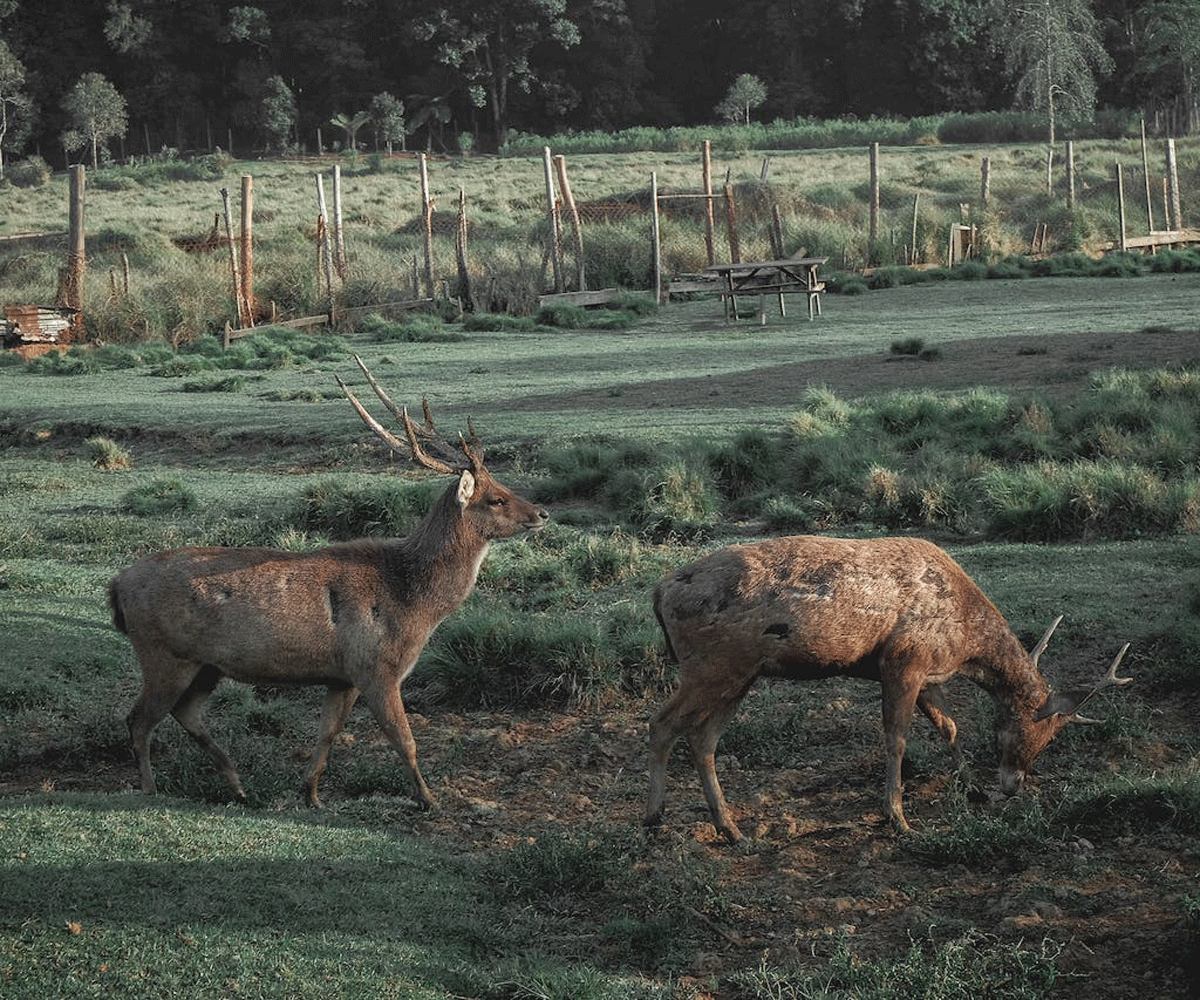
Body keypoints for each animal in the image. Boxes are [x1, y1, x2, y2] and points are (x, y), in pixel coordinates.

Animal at [109, 355, 548, 808]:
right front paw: (429, 799)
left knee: (184, 712)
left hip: (205, 665)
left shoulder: (341, 676)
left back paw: (237, 784)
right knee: (138, 719)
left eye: (503, 485)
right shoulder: (375, 666)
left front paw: (312, 793)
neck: (415, 604)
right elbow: (404, 739)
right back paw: (150, 787)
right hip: (163, 654)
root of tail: (116, 586)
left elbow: (328, 734)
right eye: (495, 498)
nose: (542, 513)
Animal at [644, 534, 1131, 841]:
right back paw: (653, 817)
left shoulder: (928, 674)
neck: (964, 645)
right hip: (711, 665)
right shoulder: (903, 660)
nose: (1012, 786)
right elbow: (896, 738)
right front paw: (897, 817)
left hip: (742, 673)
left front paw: (972, 788)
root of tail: (658, 592)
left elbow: (950, 727)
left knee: (703, 738)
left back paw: (731, 828)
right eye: (1039, 731)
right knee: (662, 723)